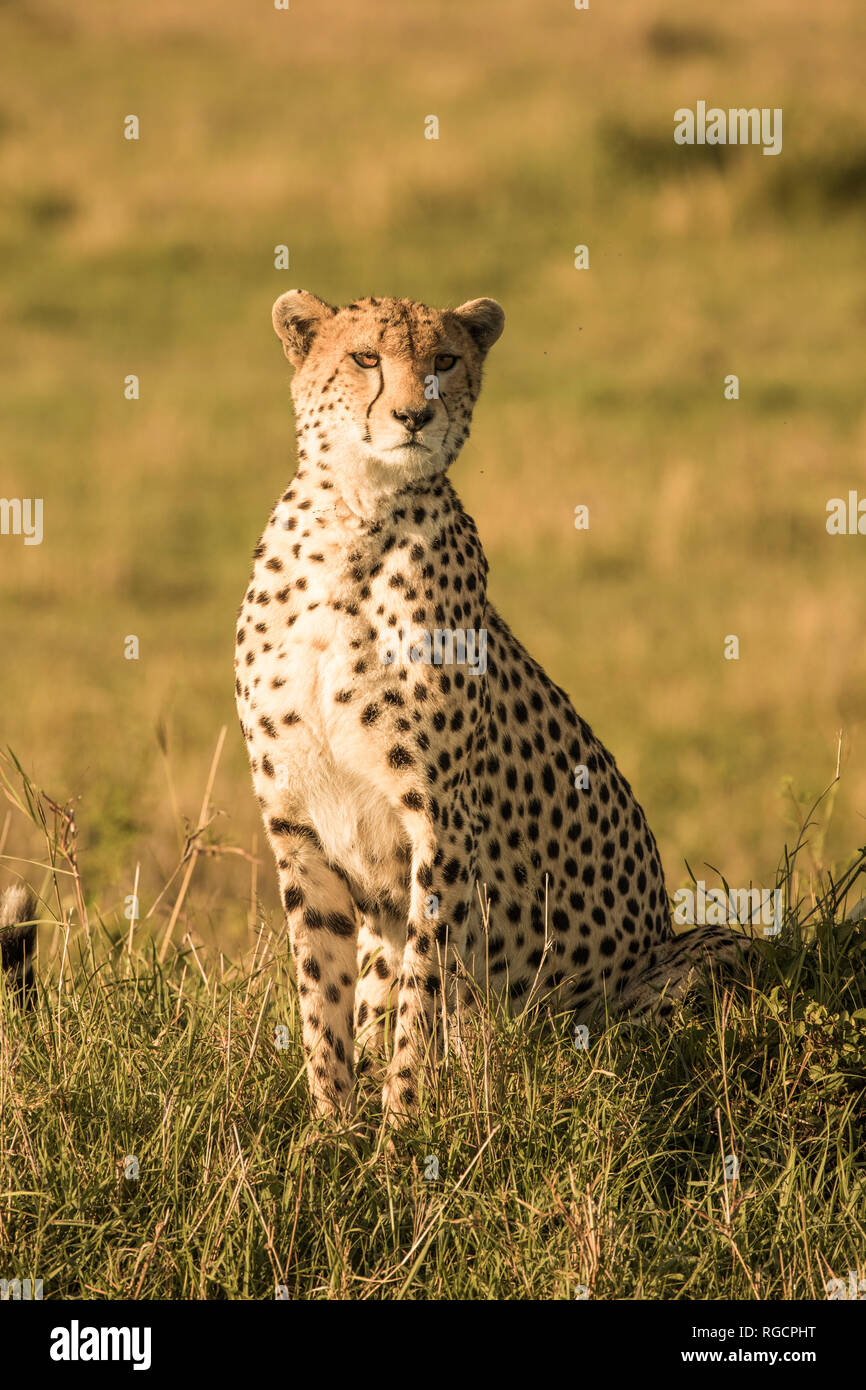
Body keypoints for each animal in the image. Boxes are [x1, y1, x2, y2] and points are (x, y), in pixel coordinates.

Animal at [234, 290, 751, 1123]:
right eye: (365, 357)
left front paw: (401, 1132)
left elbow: (421, 997)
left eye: (444, 360)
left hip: (692, 963)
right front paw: (329, 1134)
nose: (414, 415)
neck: (354, 522)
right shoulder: (297, 824)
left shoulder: (440, 820)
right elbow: (323, 1002)